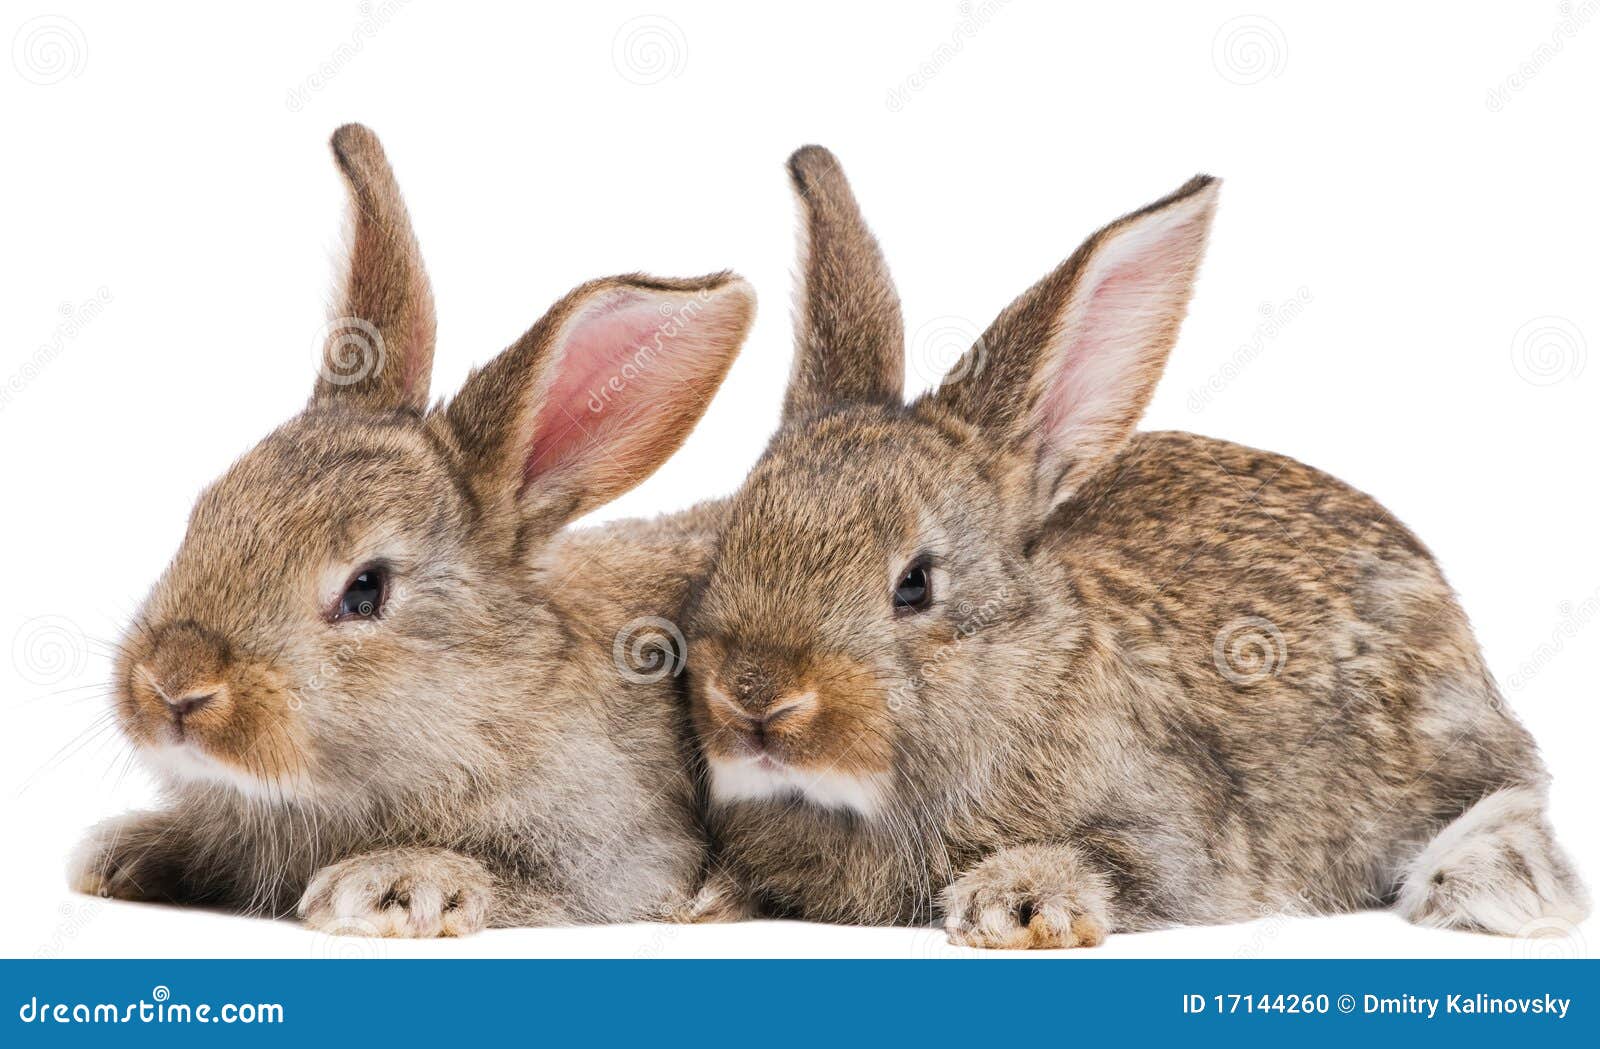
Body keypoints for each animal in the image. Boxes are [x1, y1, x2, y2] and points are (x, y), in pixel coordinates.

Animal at [66, 124, 757, 937]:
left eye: (367, 589)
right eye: (202, 514)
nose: (174, 685)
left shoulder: (619, 859)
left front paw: (385, 885)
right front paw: (120, 853)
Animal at [681, 146, 1589, 949]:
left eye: (915, 584)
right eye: (730, 542)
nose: (755, 698)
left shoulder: (1176, 837)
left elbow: (1114, 864)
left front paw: (1017, 903)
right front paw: (708, 898)